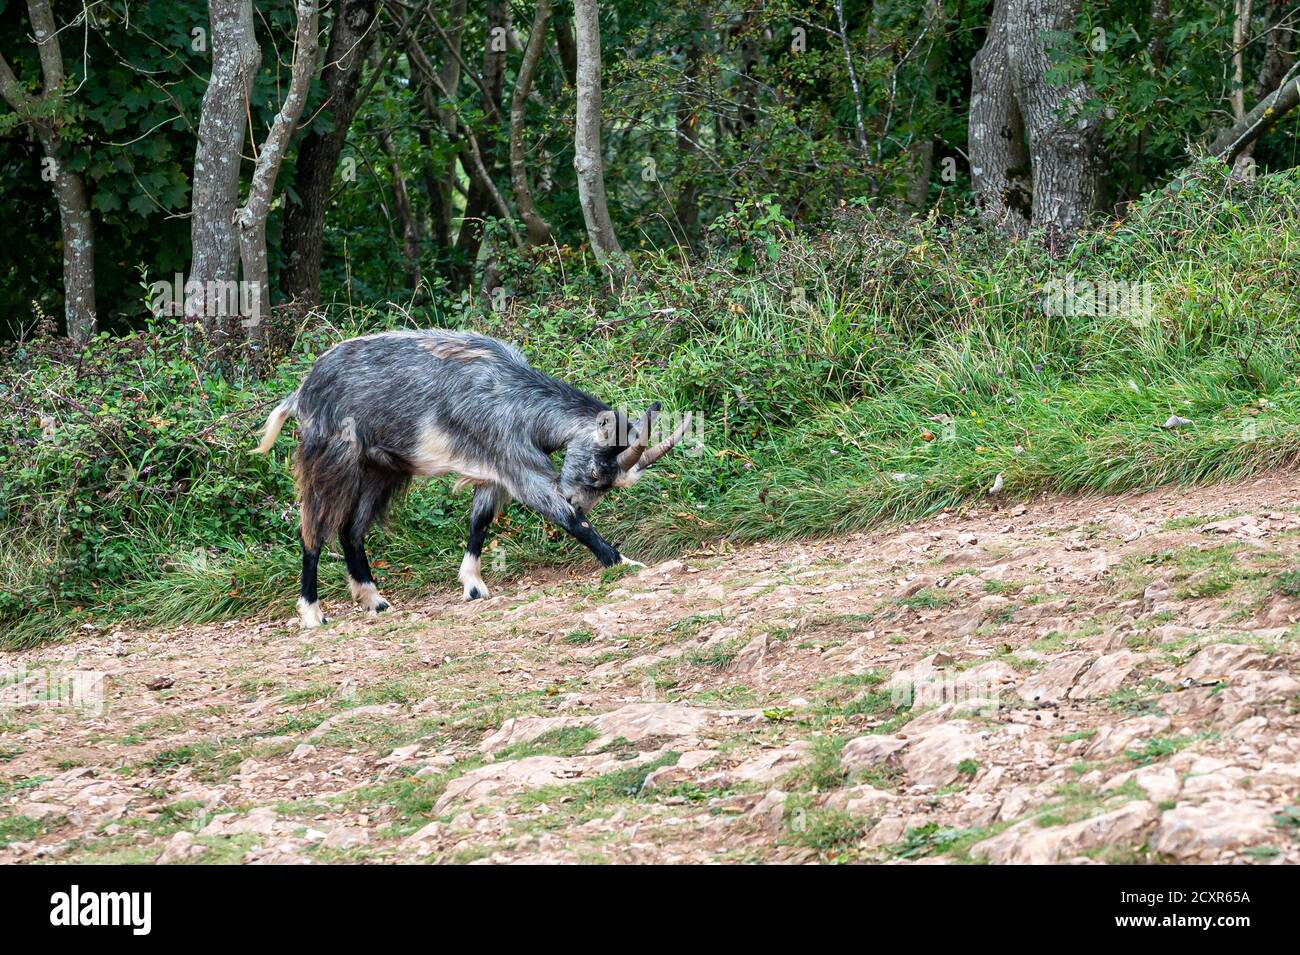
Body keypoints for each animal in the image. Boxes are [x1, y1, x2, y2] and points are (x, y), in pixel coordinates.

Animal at [253, 329, 692, 628]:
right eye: (597, 471)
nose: (577, 499)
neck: (514, 396)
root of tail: (303, 390)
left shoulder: (494, 470)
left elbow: (479, 521)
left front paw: (473, 585)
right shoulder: (517, 463)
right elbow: (568, 520)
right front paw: (623, 561)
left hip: (383, 469)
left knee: (351, 531)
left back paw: (374, 599)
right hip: (332, 458)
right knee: (313, 530)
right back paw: (313, 612)